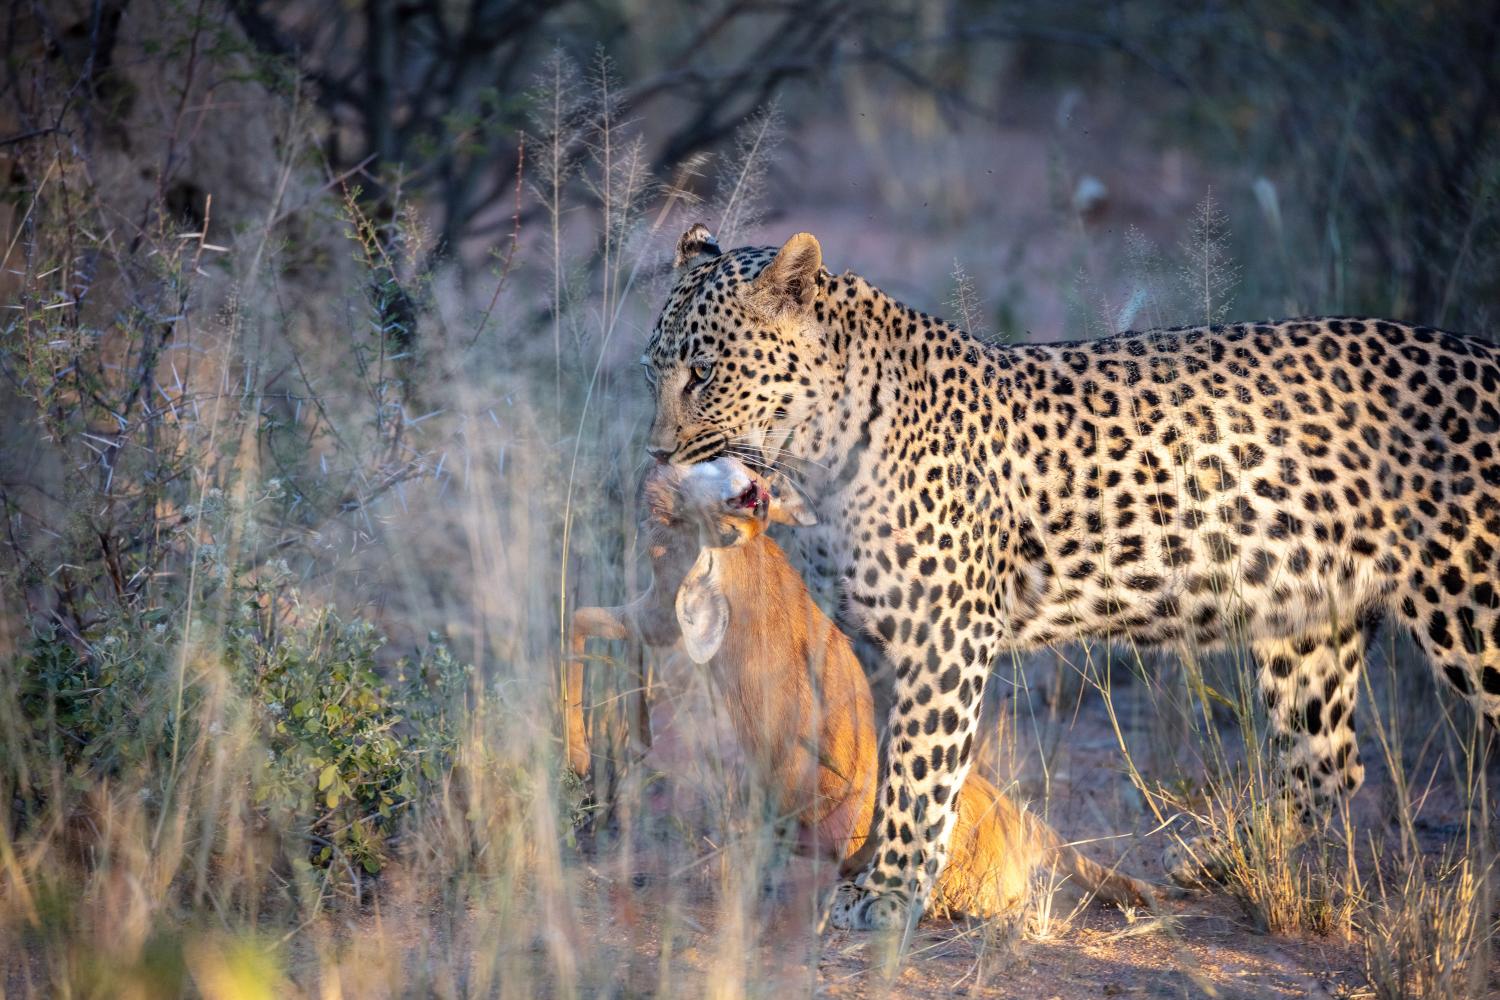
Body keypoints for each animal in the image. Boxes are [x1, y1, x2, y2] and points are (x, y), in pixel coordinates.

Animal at [640, 222, 1500, 931]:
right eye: (653, 372)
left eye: (704, 373)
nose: (656, 452)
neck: (814, 453)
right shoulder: (882, 646)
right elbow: (891, 767)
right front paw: (875, 873)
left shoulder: (946, 635)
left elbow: (923, 772)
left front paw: (888, 895)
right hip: (1308, 619)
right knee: (1329, 764)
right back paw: (1227, 863)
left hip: (1472, 609)